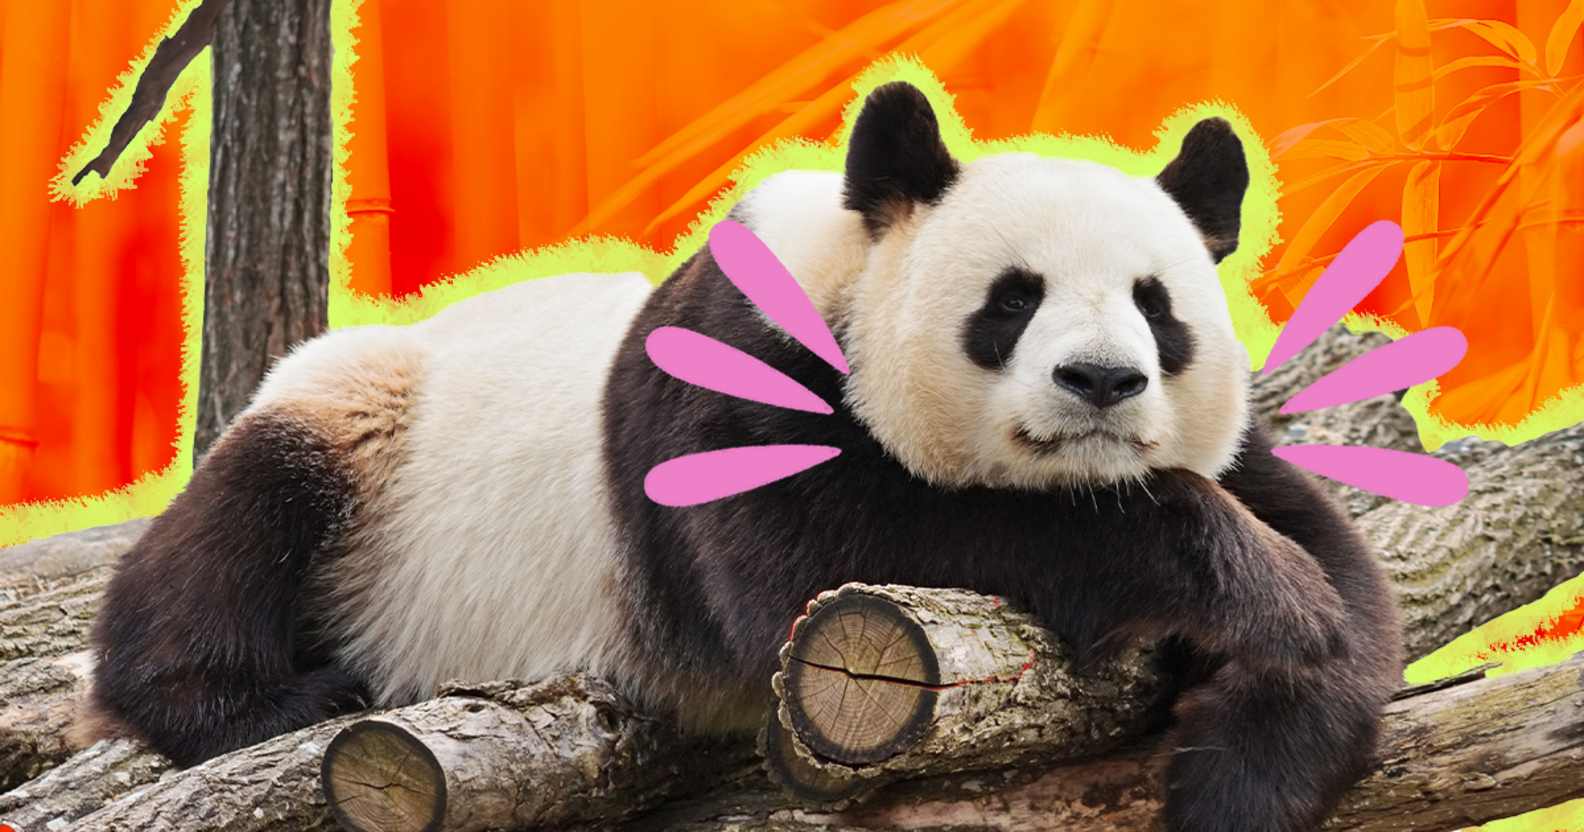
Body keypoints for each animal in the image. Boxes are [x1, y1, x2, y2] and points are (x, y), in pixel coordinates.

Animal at [83, 82, 1402, 832]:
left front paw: (1246, 755)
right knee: (238, 523)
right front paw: (1263, 597)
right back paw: (268, 696)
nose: (1103, 383)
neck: (851, 269)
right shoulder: (729, 380)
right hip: (369, 423)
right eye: (1012, 300)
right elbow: (835, 549)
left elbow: (1347, 578)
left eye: (1157, 307)